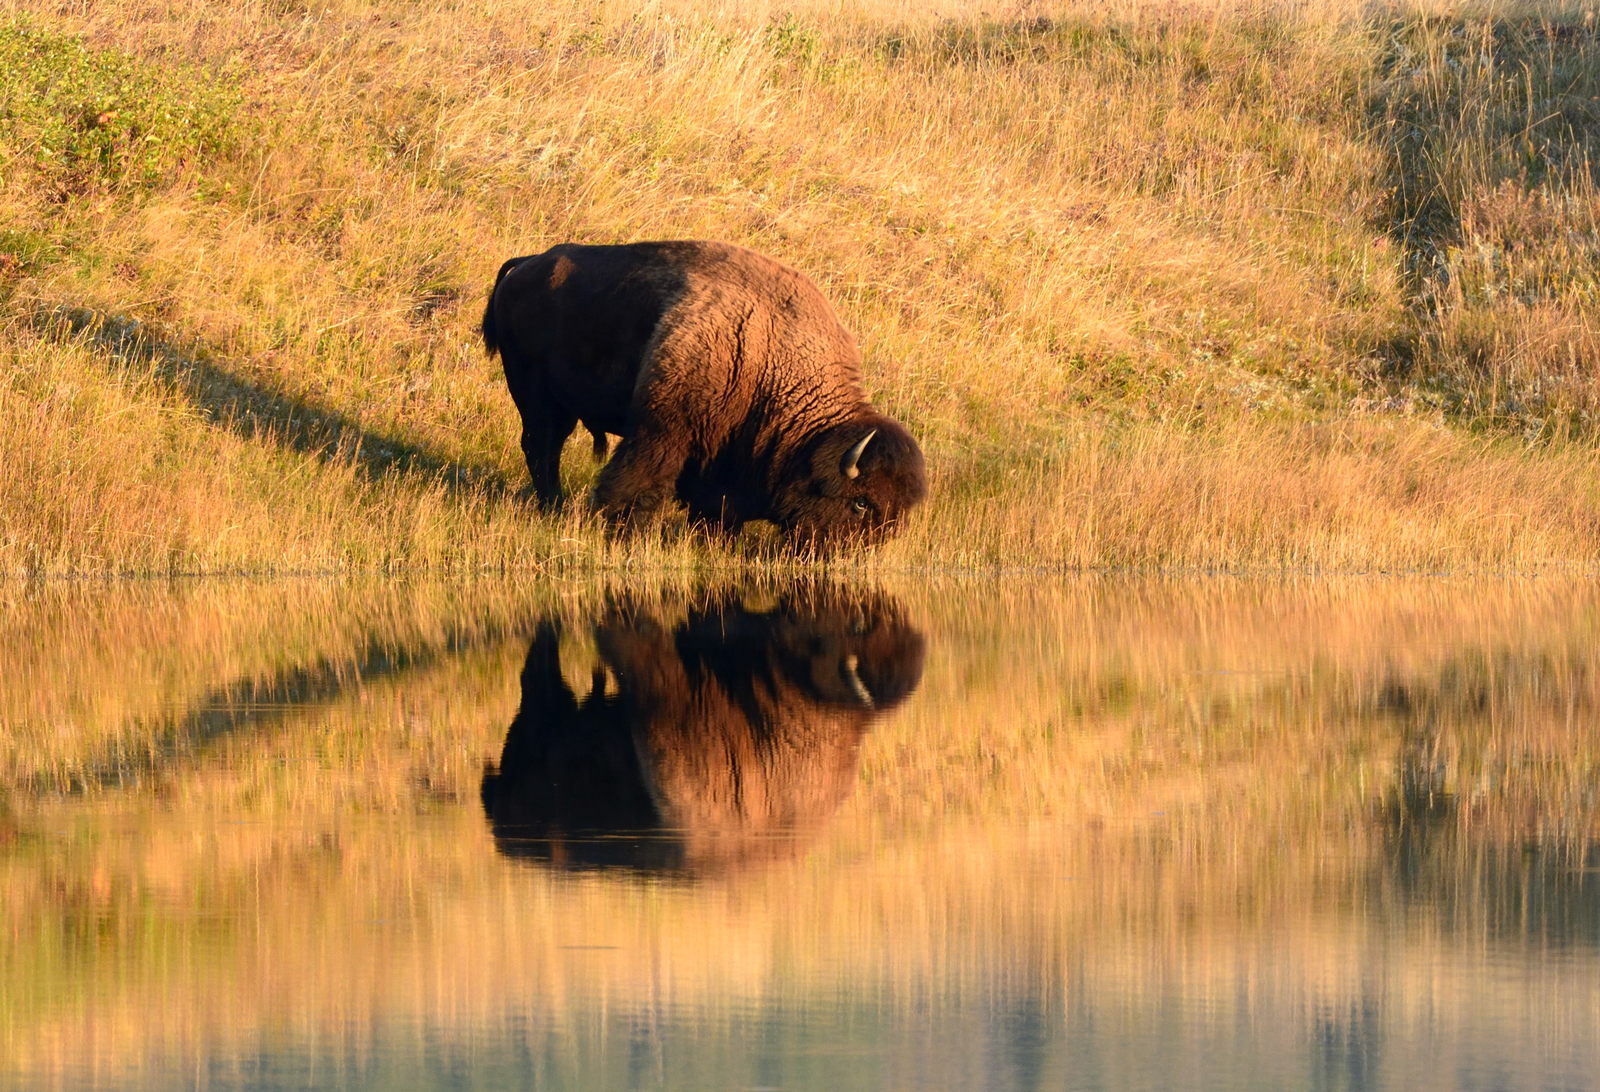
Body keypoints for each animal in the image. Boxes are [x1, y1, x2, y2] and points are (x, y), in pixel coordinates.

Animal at [480, 241, 927, 549]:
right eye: (862, 503)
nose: (841, 555)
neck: (772, 354)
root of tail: (527, 264)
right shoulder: (662, 430)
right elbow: (637, 479)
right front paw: (620, 528)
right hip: (536, 396)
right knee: (542, 447)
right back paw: (553, 506)